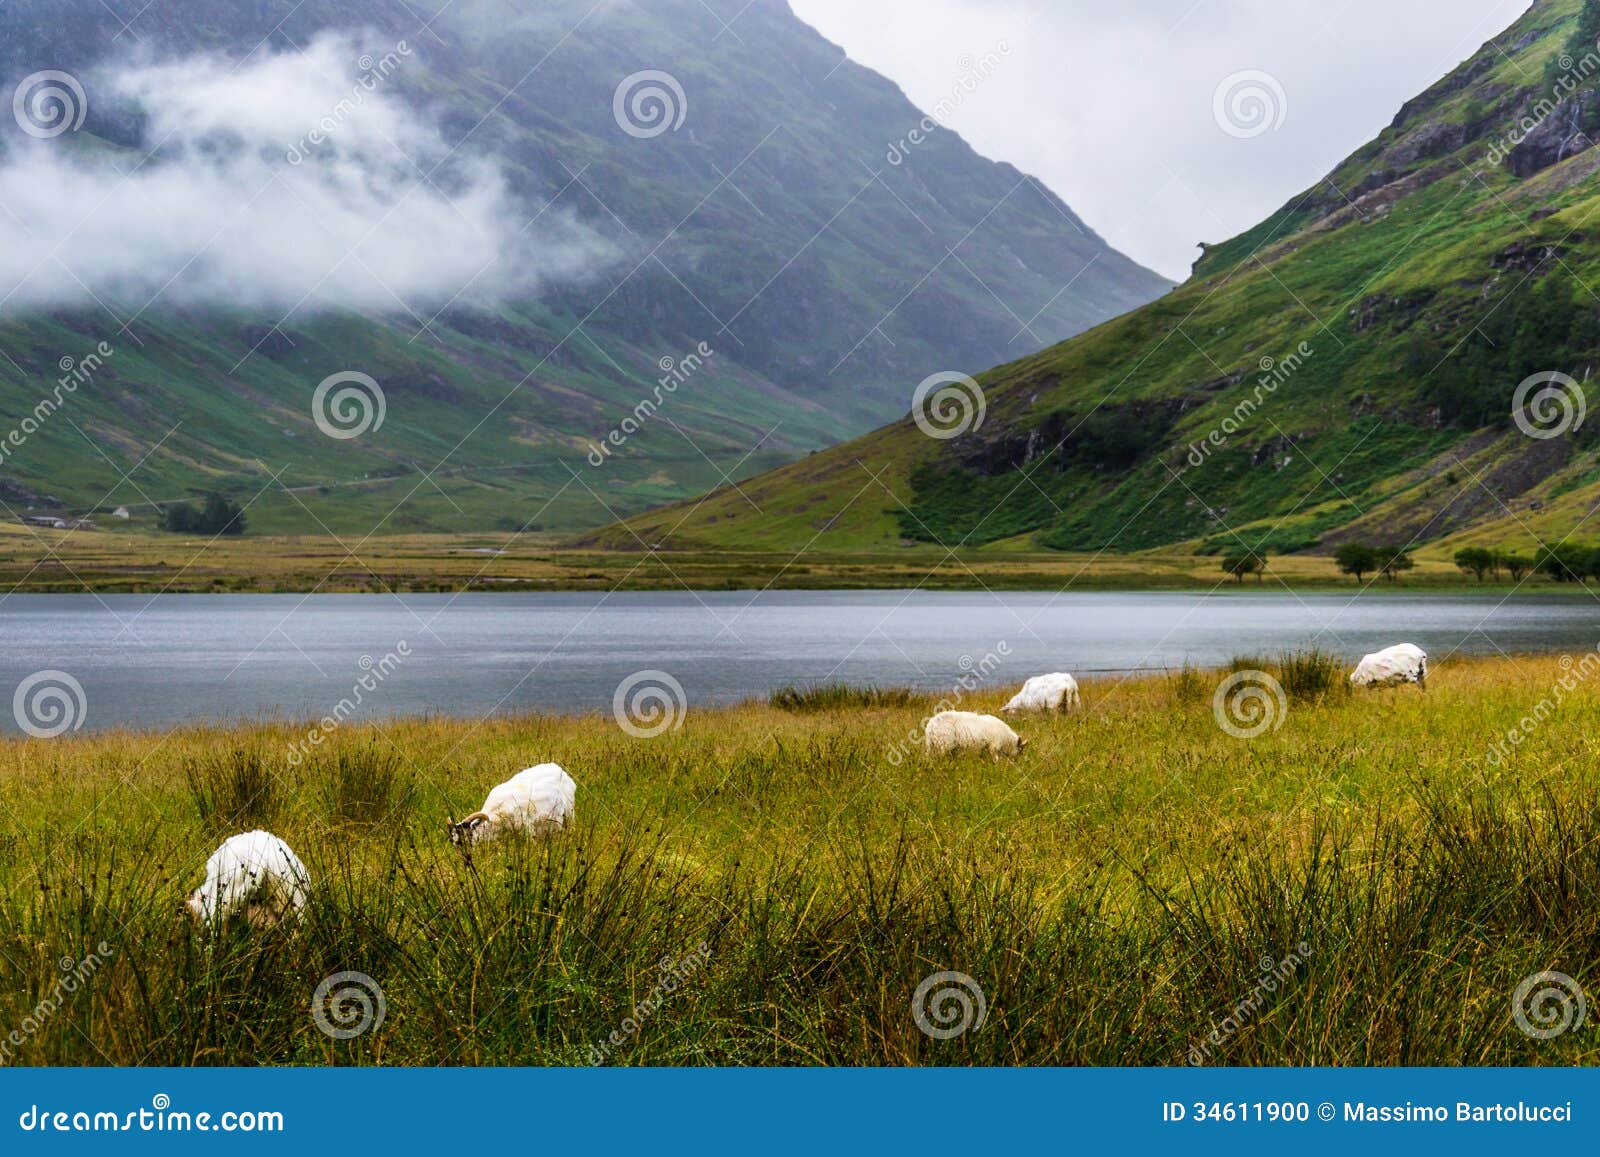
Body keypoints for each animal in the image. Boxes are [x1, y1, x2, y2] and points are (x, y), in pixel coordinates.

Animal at [448, 762, 576, 852]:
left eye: (465, 837)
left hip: (569, 811)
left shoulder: (527, 825)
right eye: (453, 842)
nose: (465, 860)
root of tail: (559, 769)